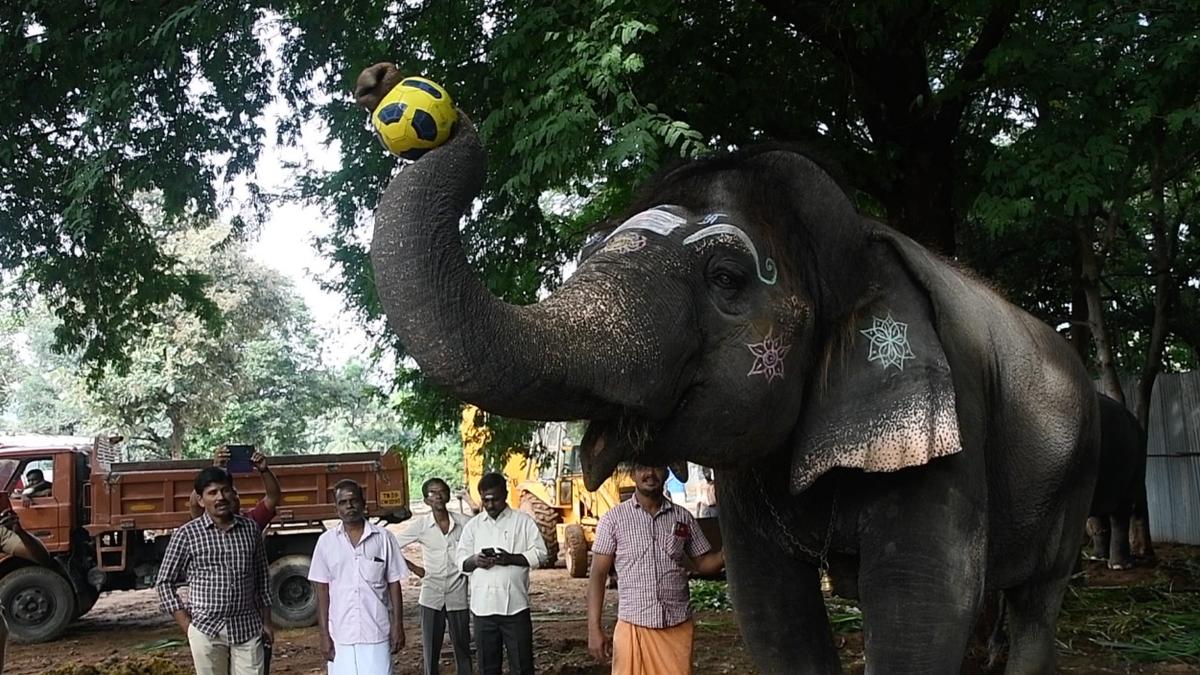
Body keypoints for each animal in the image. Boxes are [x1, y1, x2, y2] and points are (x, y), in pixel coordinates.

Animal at [362, 76, 1100, 673]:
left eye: (725, 279)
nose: (386, 85)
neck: (861, 238)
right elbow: (771, 612)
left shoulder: (946, 423)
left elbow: (922, 606)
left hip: (1071, 482)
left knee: (1038, 599)